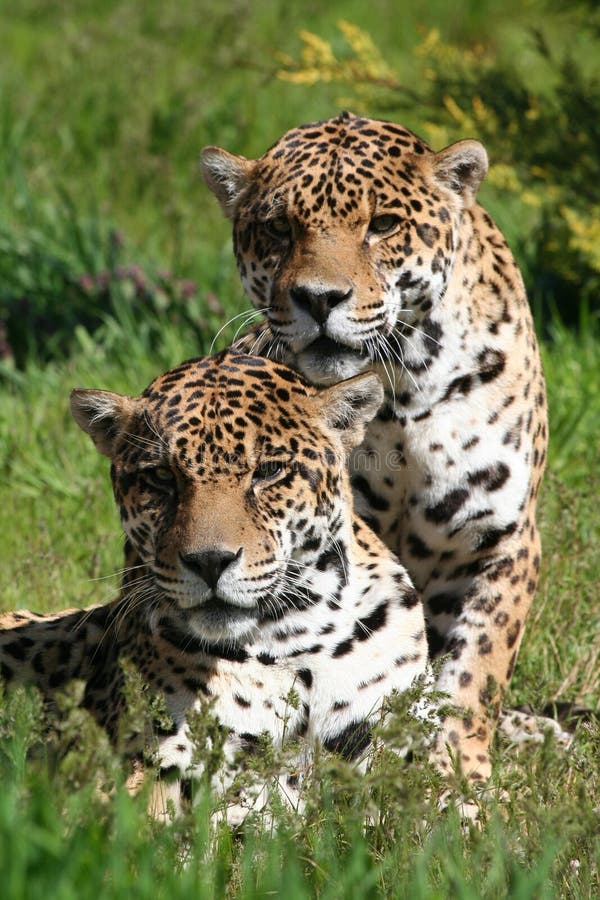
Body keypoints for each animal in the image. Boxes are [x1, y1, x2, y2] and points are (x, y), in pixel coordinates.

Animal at [0, 350, 428, 821]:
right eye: (161, 477)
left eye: (269, 471)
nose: (209, 561)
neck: (294, 640)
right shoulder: (156, 763)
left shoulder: (387, 746)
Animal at [199, 111, 550, 790]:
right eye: (278, 228)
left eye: (383, 224)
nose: (318, 298)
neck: (401, 390)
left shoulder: (501, 540)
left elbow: (474, 676)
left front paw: (460, 781)